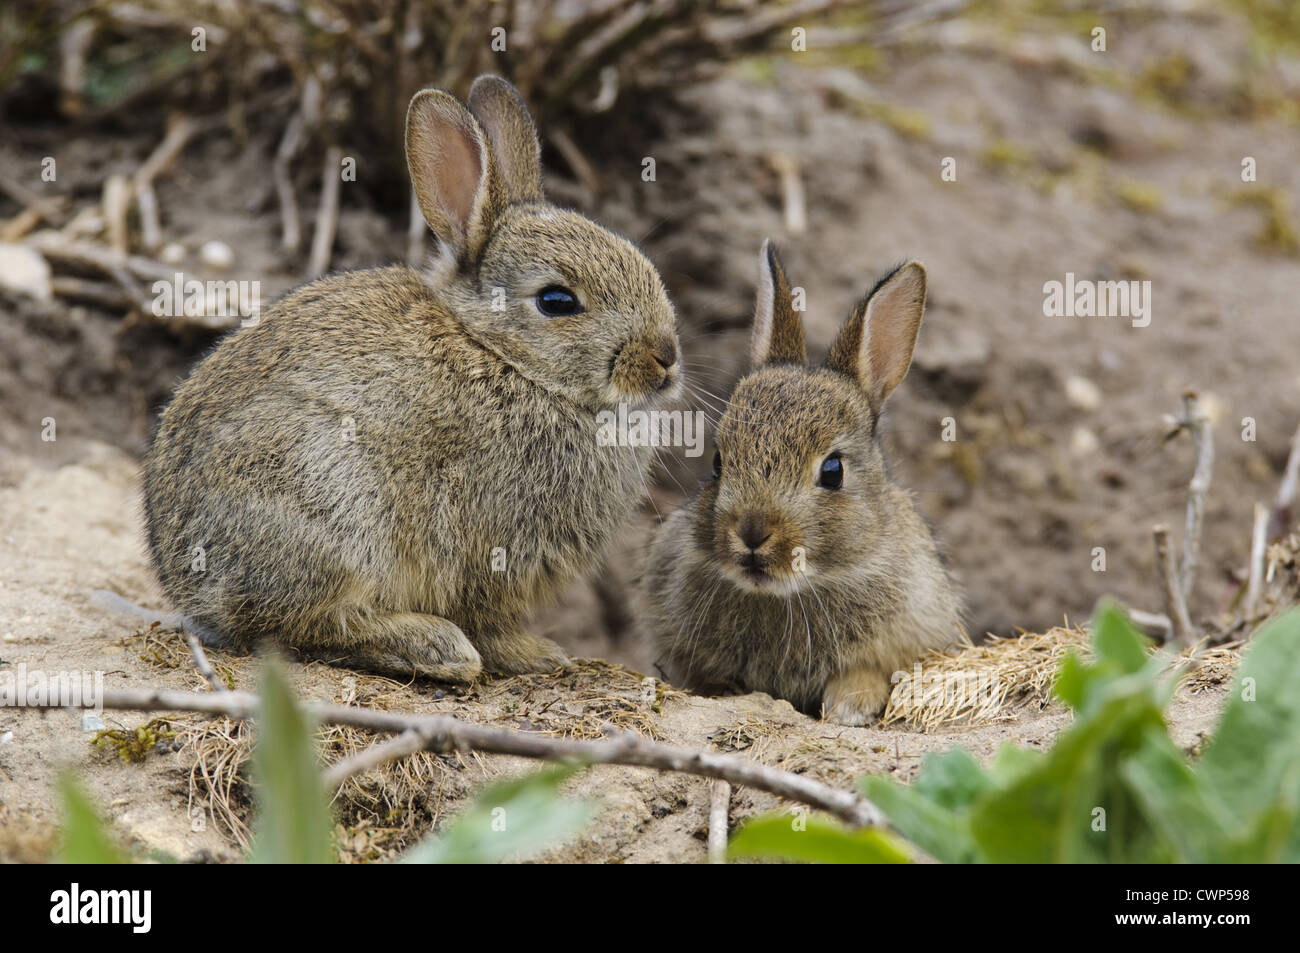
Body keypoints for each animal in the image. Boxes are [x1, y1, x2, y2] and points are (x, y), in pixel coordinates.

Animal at [143, 75, 682, 682]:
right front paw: (536, 655)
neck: (503, 355)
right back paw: (433, 646)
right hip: (330, 510)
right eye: (557, 301)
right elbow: (488, 620)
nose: (666, 356)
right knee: (307, 625)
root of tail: (184, 578)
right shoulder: (489, 548)